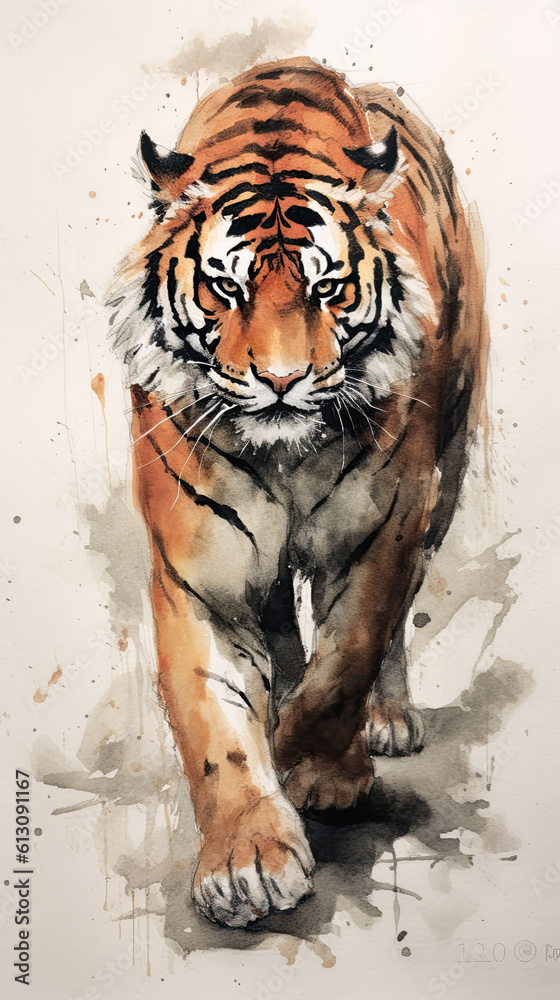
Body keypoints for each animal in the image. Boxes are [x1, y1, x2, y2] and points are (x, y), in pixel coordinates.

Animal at [108, 56, 488, 928]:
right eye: (225, 288)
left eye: (328, 289)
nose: (281, 382)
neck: (284, 455)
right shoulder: (199, 574)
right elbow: (214, 722)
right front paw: (247, 860)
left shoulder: (385, 526)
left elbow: (348, 657)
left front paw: (315, 770)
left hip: (447, 471)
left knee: (391, 628)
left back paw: (385, 719)